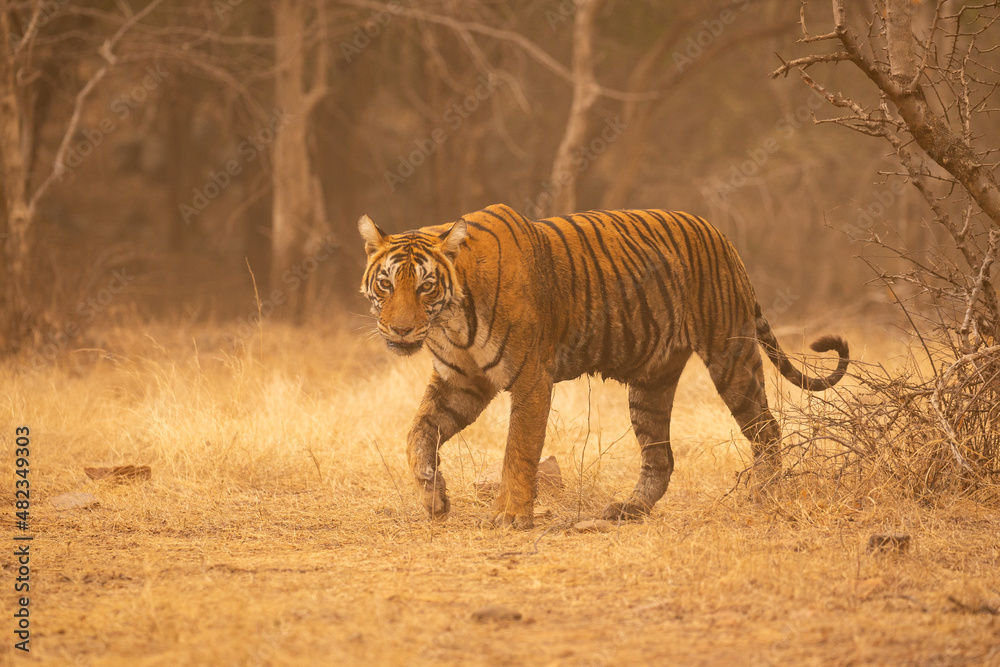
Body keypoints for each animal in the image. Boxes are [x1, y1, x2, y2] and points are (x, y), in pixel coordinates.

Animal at [358, 204, 848, 529]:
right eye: (386, 284)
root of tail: (722, 235)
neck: (451, 321)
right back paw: (629, 510)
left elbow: (518, 450)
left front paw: (510, 515)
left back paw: (761, 497)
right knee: (660, 456)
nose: (400, 330)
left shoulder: (531, 379)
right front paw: (433, 497)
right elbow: (418, 434)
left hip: (731, 357)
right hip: (652, 383)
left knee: (767, 429)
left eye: (425, 287)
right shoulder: (462, 382)